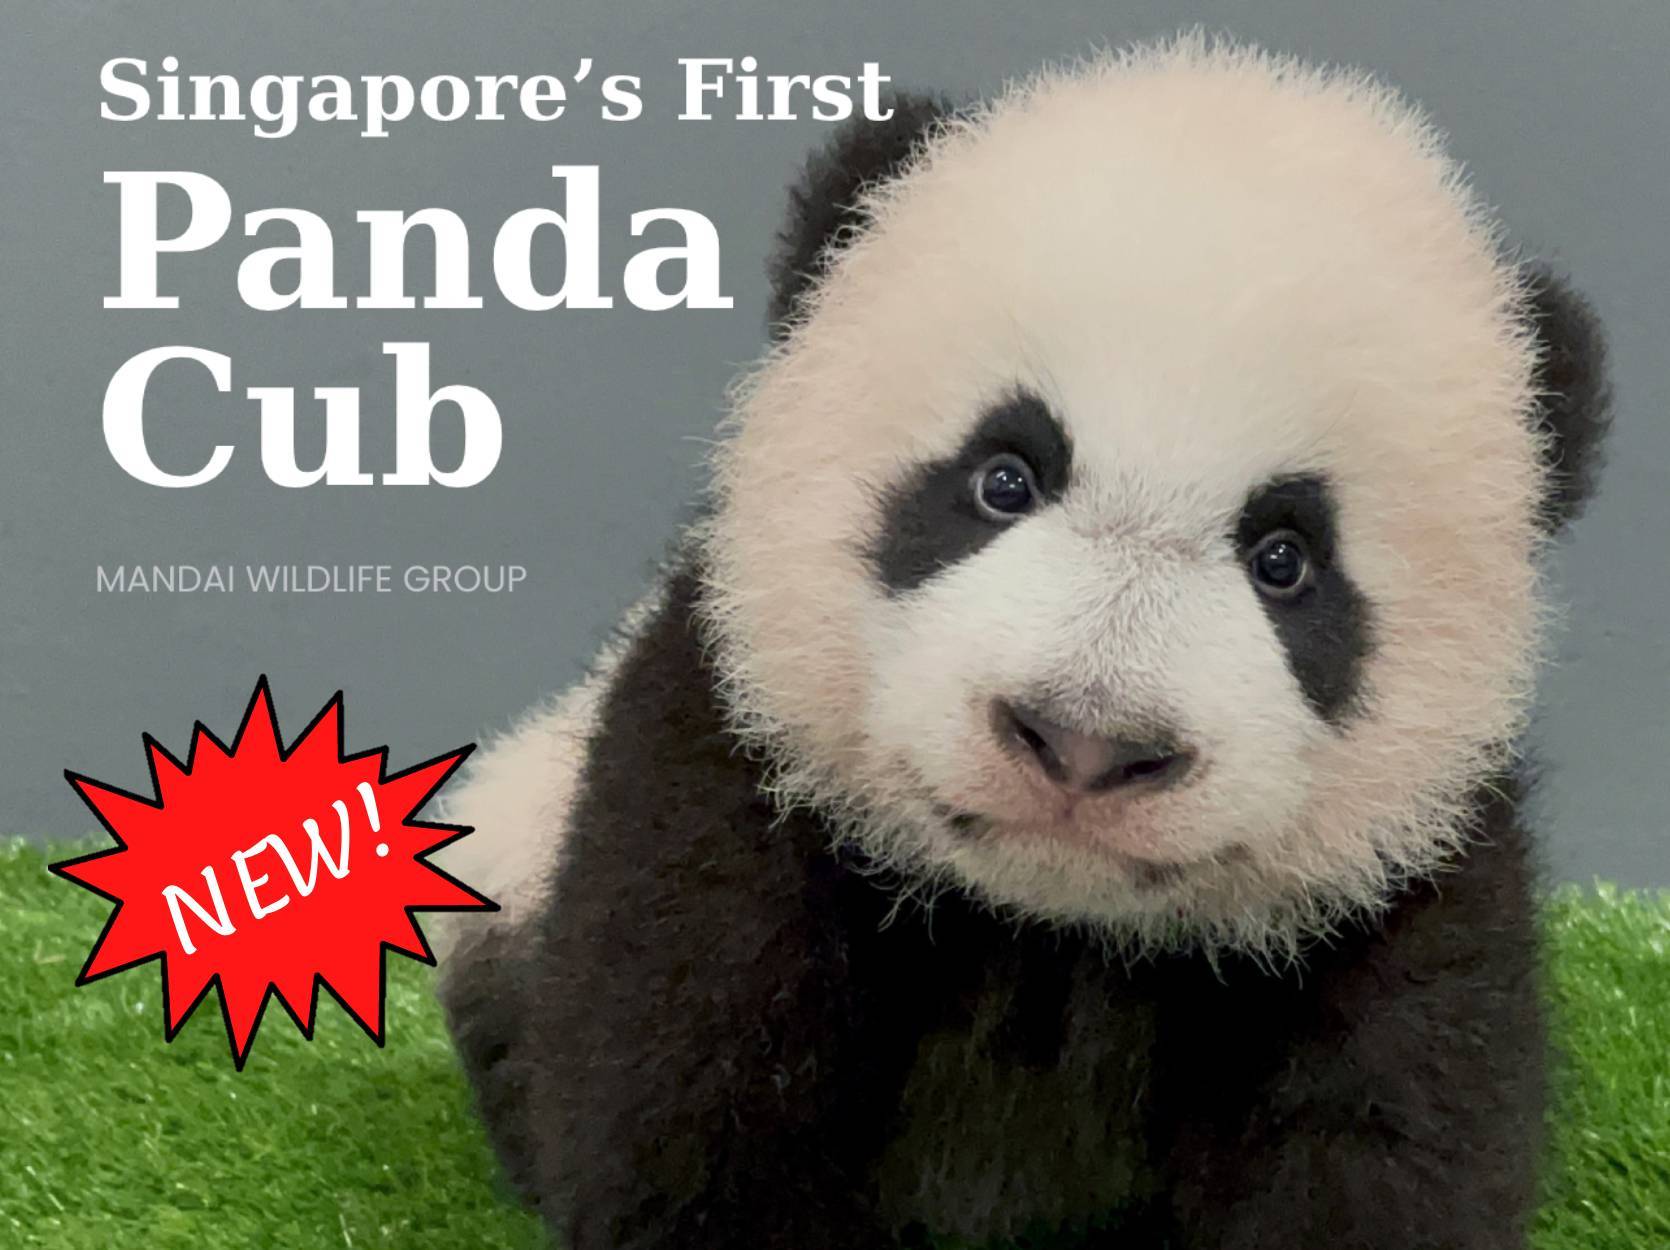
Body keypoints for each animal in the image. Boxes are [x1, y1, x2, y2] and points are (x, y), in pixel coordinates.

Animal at [432, 37, 1611, 1250]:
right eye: (1003, 478)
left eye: (1285, 558)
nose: (1085, 745)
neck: (1045, 925)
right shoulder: (721, 758)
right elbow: (686, 1096)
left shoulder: (1404, 880)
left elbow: (1384, 1131)